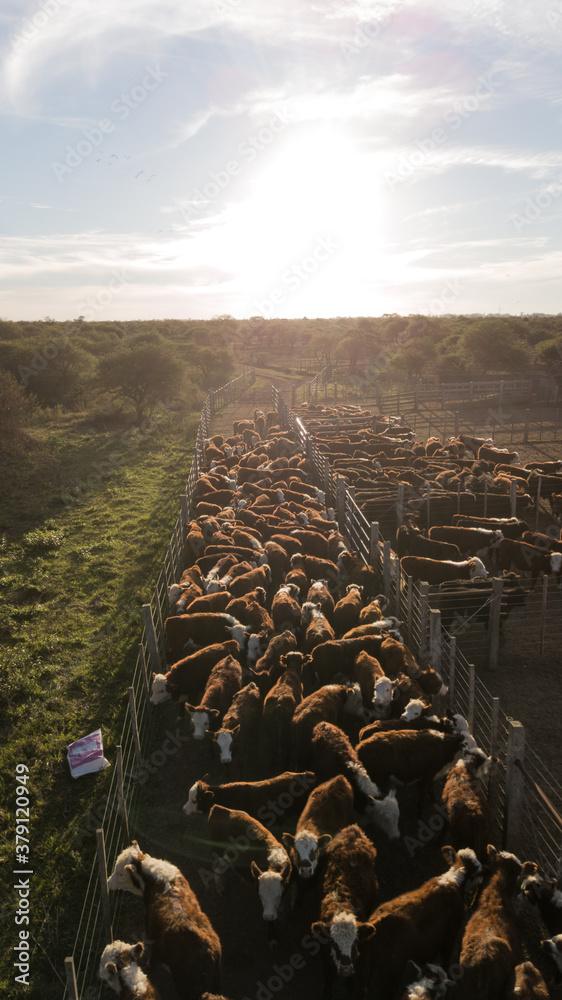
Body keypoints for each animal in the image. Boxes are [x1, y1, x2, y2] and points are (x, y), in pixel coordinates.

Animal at [311, 824, 379, 993]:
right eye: (334, 943)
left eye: (355, 942)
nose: (346, 969)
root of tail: (352, 830)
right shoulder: (324, 952)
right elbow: (328, 977)